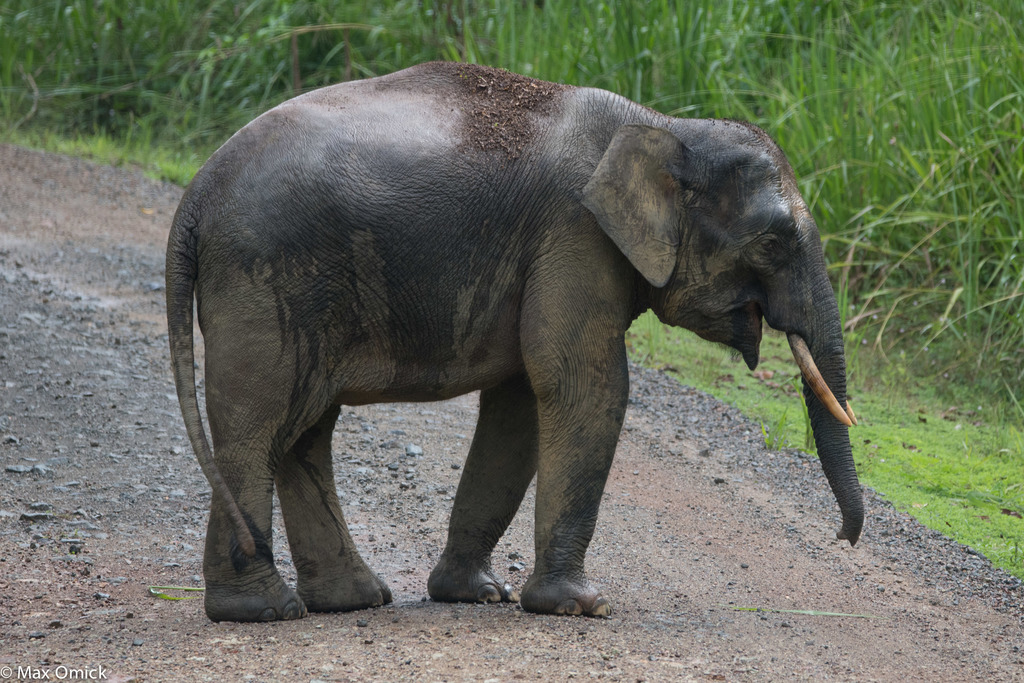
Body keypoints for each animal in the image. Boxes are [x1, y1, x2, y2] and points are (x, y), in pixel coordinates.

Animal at [165, 61, 862, 623]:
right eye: (773, 242)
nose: (844, 539)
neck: (664, 127)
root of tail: (194, 197)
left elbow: (522, 404)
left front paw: (477, 595)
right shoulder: (575, 234)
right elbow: (583, 386)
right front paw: (582, 607)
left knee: (304, 428)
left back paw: (351, 599)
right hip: (267, 279)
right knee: (259, 424)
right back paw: (262, 611)